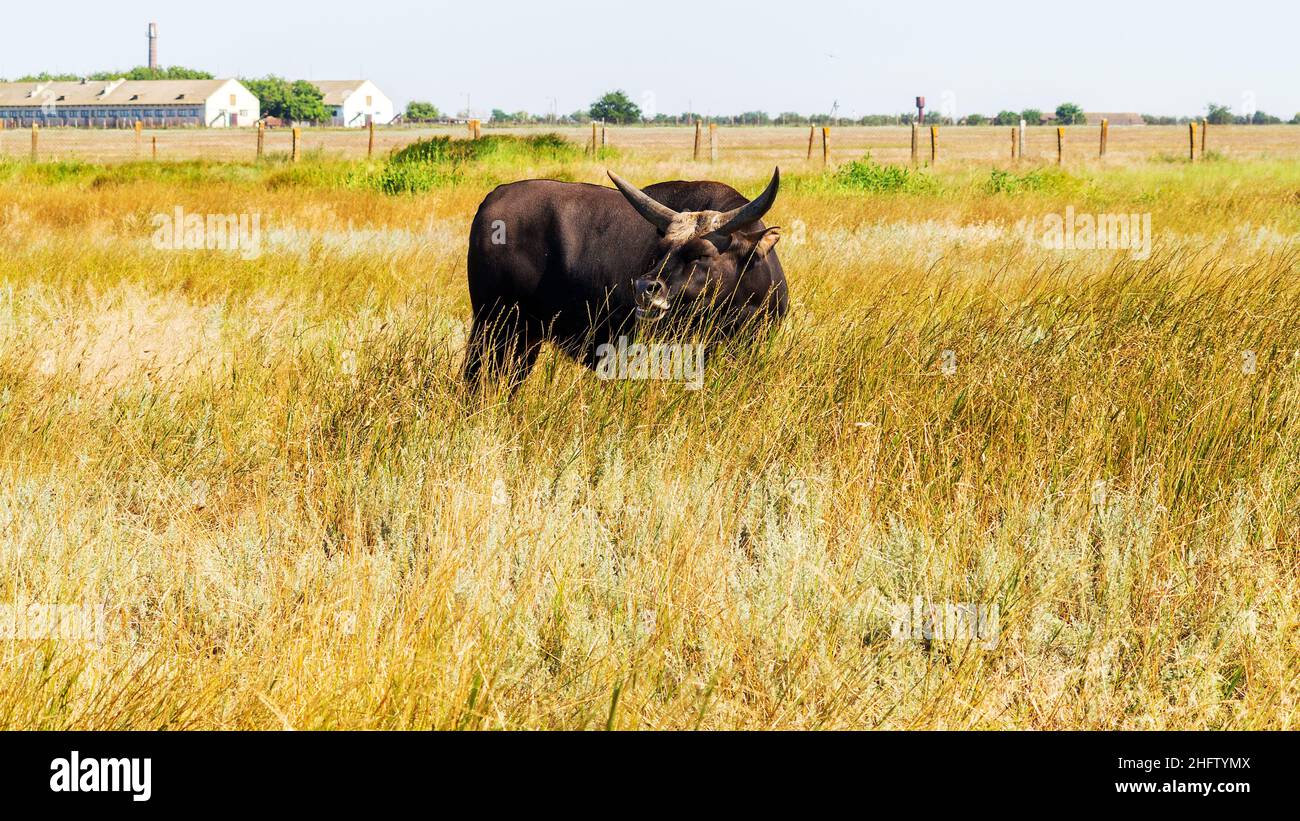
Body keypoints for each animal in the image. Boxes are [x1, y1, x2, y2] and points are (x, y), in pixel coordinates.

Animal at [462, 168, 787, 388]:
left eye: (702, 254)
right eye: (660, 250)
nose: (645, 287)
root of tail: (493, 198)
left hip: (524, 337)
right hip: (494, 328)